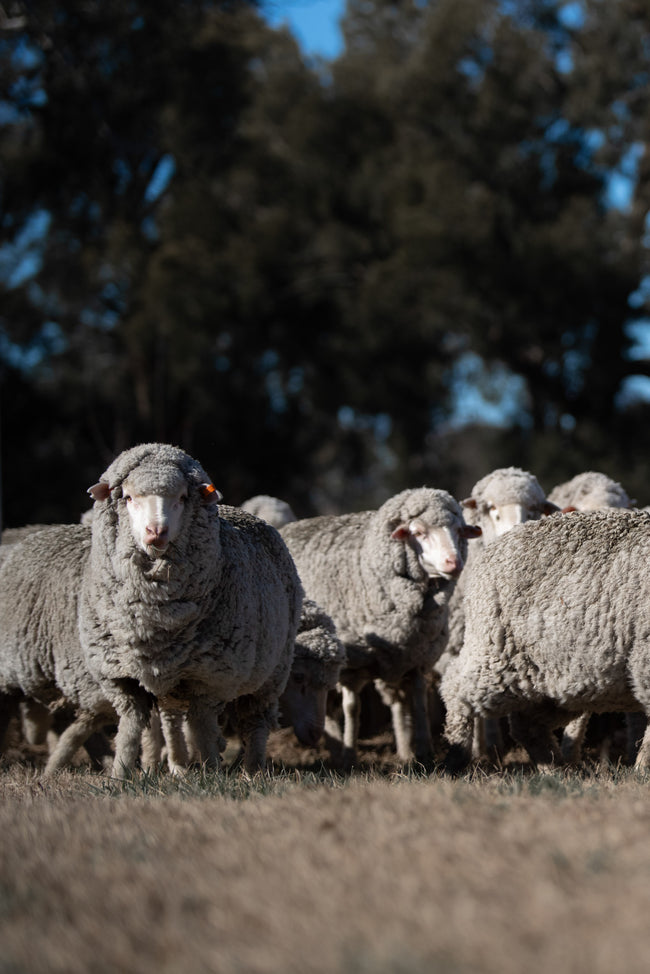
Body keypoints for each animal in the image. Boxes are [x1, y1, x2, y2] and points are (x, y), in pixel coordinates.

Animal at [0, 443, 303, 777]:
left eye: (182, 497)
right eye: (128, 497)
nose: (156, 531)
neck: (155, 617)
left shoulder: (208, 676)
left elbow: (202, 727)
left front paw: (211, 770)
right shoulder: (123, 678)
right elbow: (131, 728)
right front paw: (120, 774)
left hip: (273, 670)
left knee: (255, 722)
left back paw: (252, 770)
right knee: (171, 720)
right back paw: (178, 764)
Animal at [280, 487, 481, 767]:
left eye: (460, 531)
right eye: (419, 533)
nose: (454, 562)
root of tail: (293, 525)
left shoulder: (415, 659)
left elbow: (418, 702)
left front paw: (425, 753)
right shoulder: (352, 664)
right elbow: (352, 708)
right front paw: (349, 755)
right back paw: (334, 746)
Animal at [440, 509, 650, 773]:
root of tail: (492, 548)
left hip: (557, 682)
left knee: (526, 725)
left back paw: (555, 769)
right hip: (495, 654)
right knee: (453, 688)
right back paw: (455, 756)